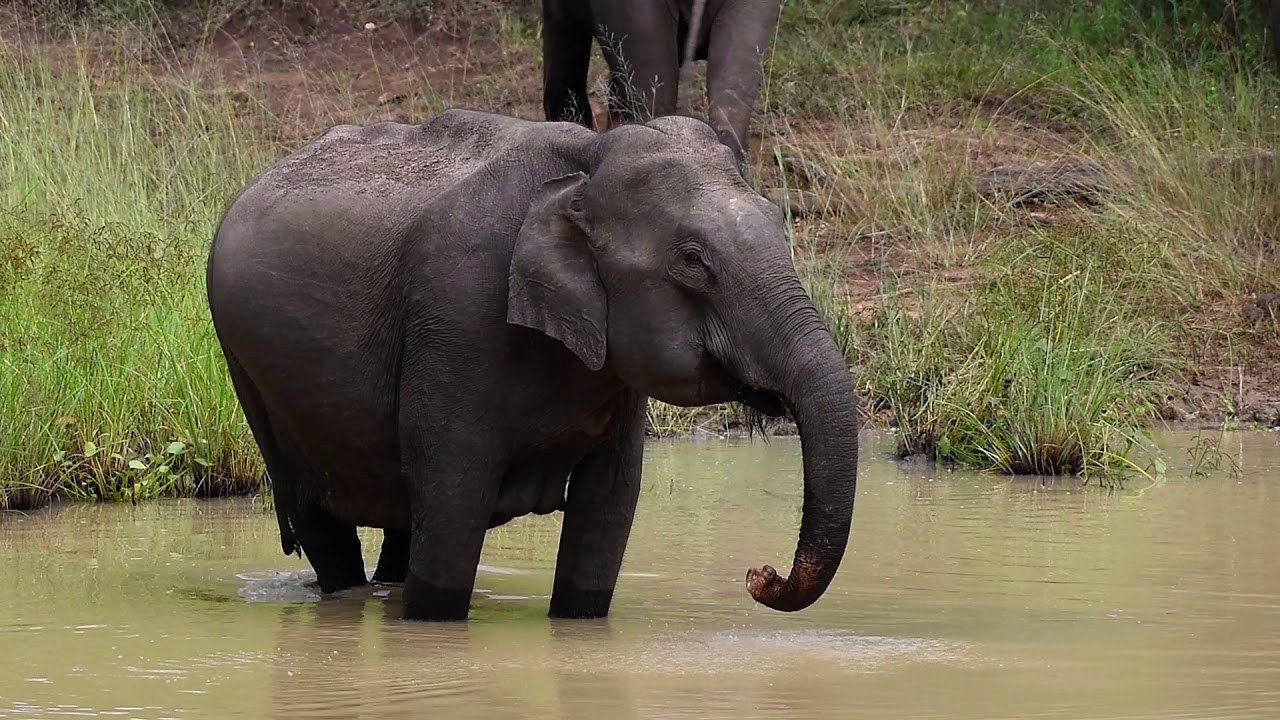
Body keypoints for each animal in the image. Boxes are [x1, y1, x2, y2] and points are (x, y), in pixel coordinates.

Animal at [205, 107, 860, 622]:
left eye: (778, 220)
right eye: (694, 260)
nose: (759, 575)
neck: (590, 155)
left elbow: (610, 501)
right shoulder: (457, 314)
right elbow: (453, 496)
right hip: (249, 370)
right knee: (317, 518)